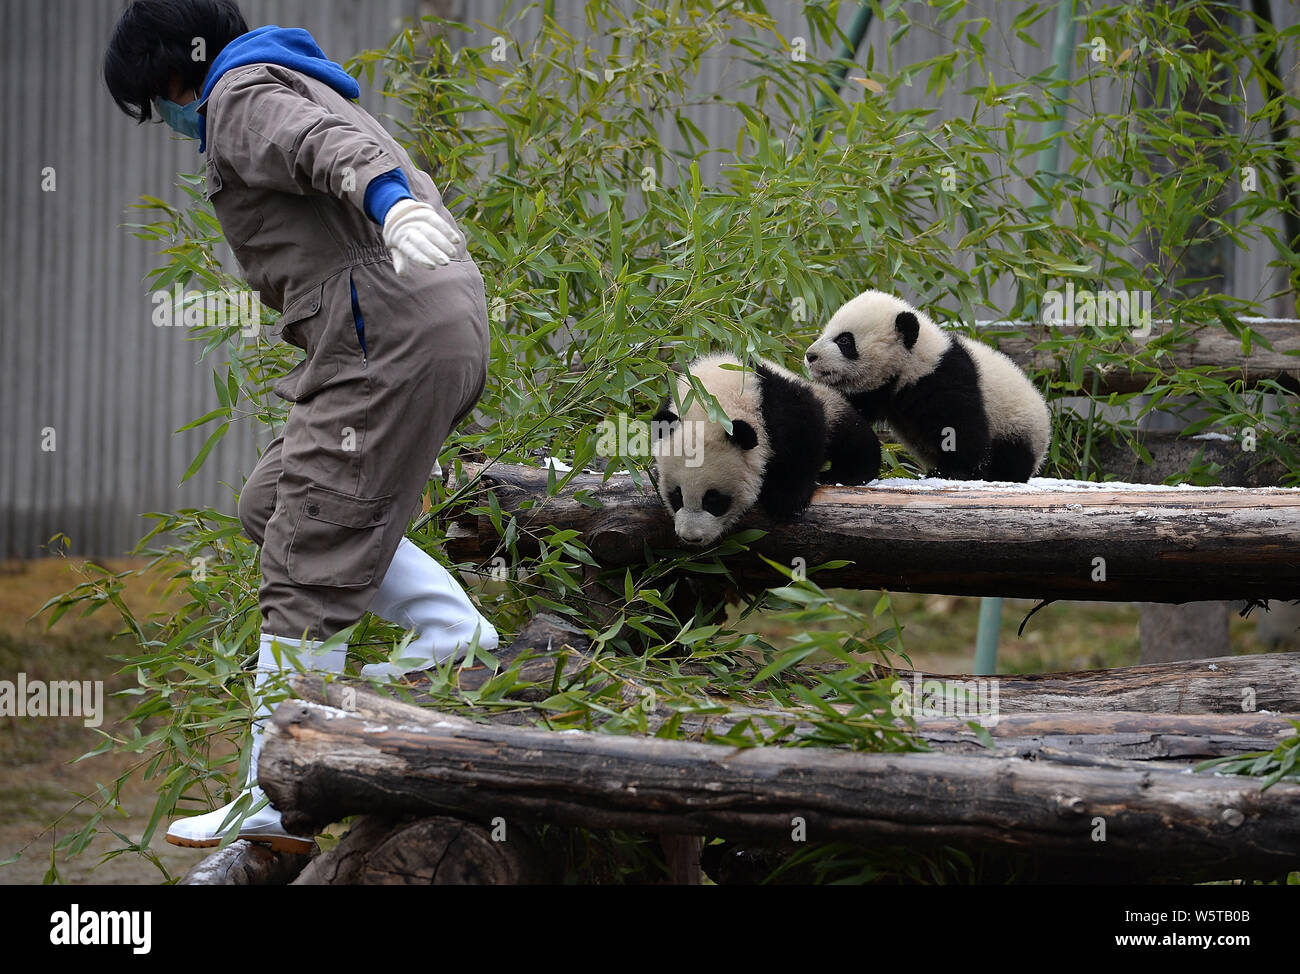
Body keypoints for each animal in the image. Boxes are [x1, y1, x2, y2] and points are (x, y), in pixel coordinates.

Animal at [652, 353, 880, 546]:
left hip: (829, 404)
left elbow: (802, 446)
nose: (691, 538)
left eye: (713, 499)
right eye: (676, 496)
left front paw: (785, 502)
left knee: (853, 439)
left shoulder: (780, 407)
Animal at [804, 290, 1051, 482]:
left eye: (844, 340)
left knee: (1011, 457)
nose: (810, 356)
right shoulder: (876, 390)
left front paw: (953, 472)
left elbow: (960, 429)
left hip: (1016, 426)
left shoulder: (944, 377)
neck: (911, 361)